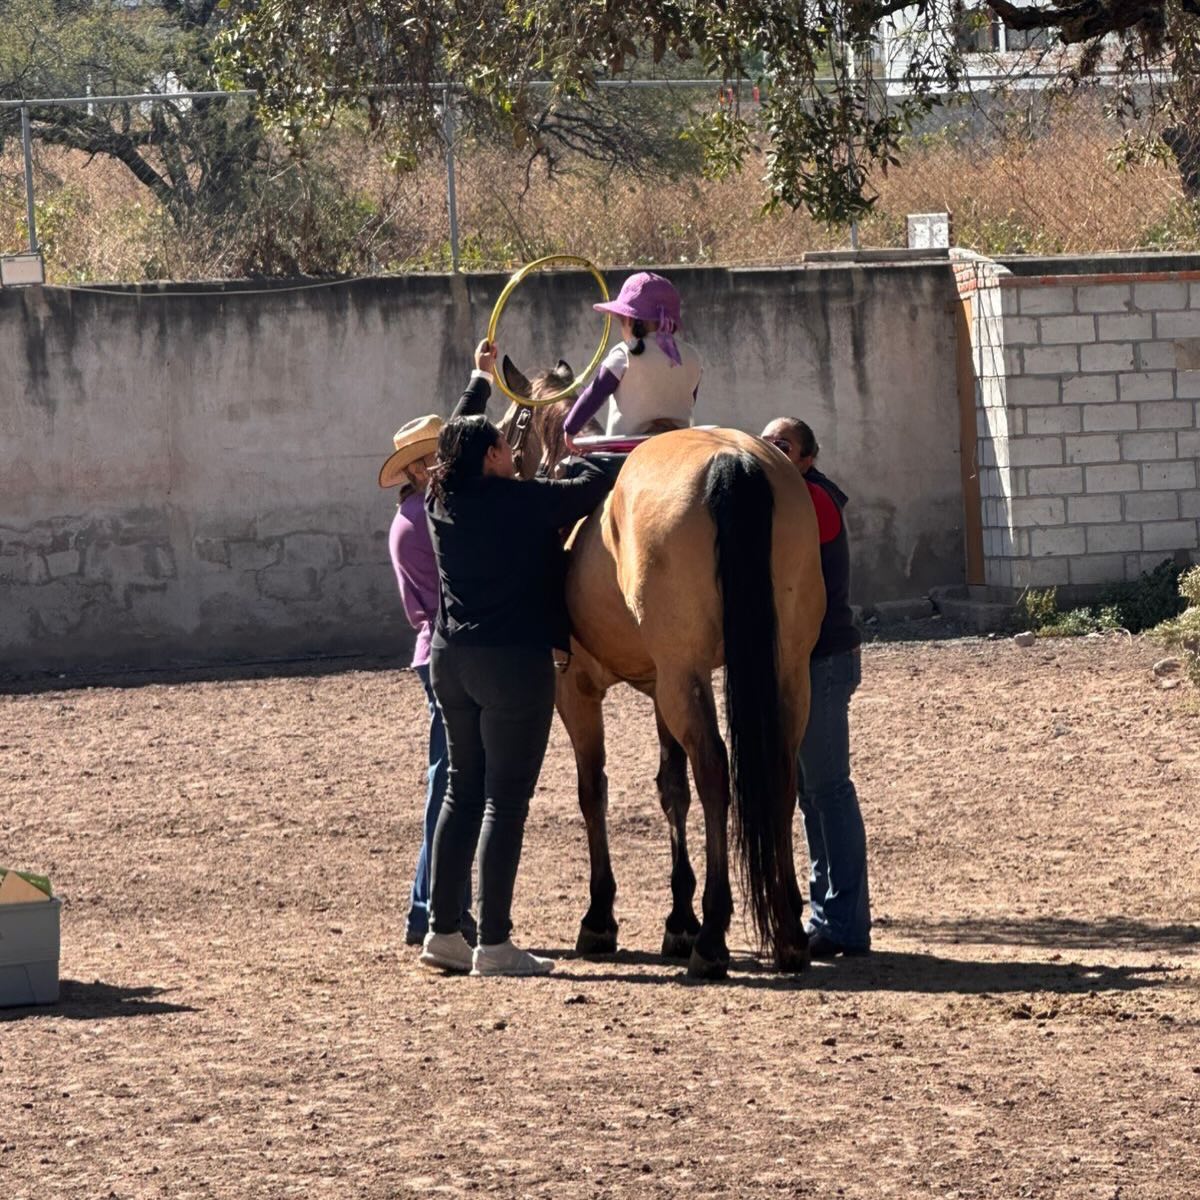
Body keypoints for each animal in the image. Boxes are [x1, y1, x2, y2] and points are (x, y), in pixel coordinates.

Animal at [498, 358, 826, 978]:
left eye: (511, 425)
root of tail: (734, 459)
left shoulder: (576, 688)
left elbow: (593, 791)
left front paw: (601, 918)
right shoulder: (659, 685)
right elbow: (671, 787)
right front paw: (679, 919)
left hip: (685, 675)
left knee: (716, 771)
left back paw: (715, 939)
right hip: (783, 670)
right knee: (781, 770)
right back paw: (789, 930)